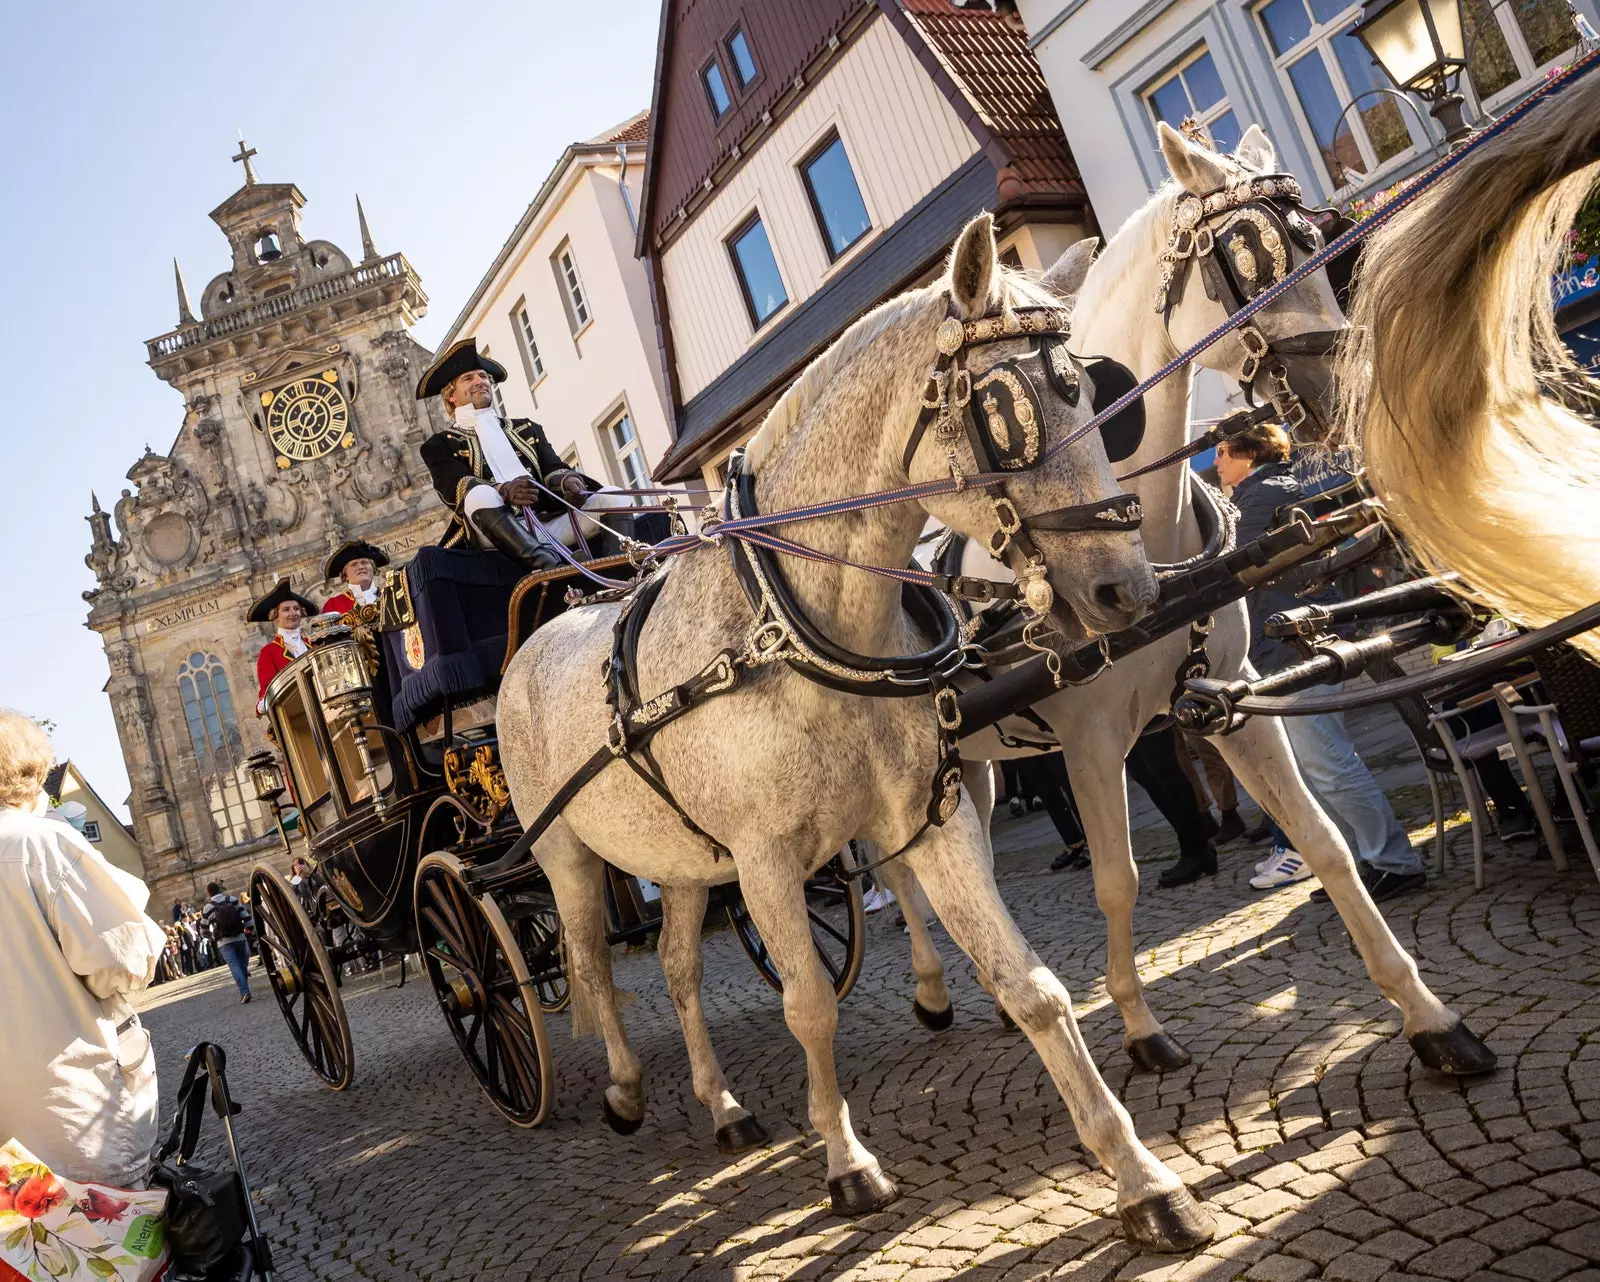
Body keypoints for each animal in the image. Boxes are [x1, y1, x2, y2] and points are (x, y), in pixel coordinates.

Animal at [499, 212, 1222, 1248]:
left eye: (1089, 389)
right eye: (1005, 410)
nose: (1129, 589)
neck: (791, 623)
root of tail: (535, 636)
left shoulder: (930, 817)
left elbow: (1034, 988)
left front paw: (1144, 1179)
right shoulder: (765, 862)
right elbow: (807, 1008)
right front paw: (847, 1163)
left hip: (683, 861)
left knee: (677, 967)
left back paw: (722, 1104)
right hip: (566, 856)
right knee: (595, 967)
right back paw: (627, 1088)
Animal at [870, 117, 1491, 1081]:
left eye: (1314, 239)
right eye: (1248, 253)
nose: (1344, 387)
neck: (1140, 541)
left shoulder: (1231, 699)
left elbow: (1323, 841)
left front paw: (1430, 1017)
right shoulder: (1092, 742)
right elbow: (1115, 882)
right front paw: (1138, 1025)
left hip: (969, 757)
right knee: (898, 875)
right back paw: (934, 993)